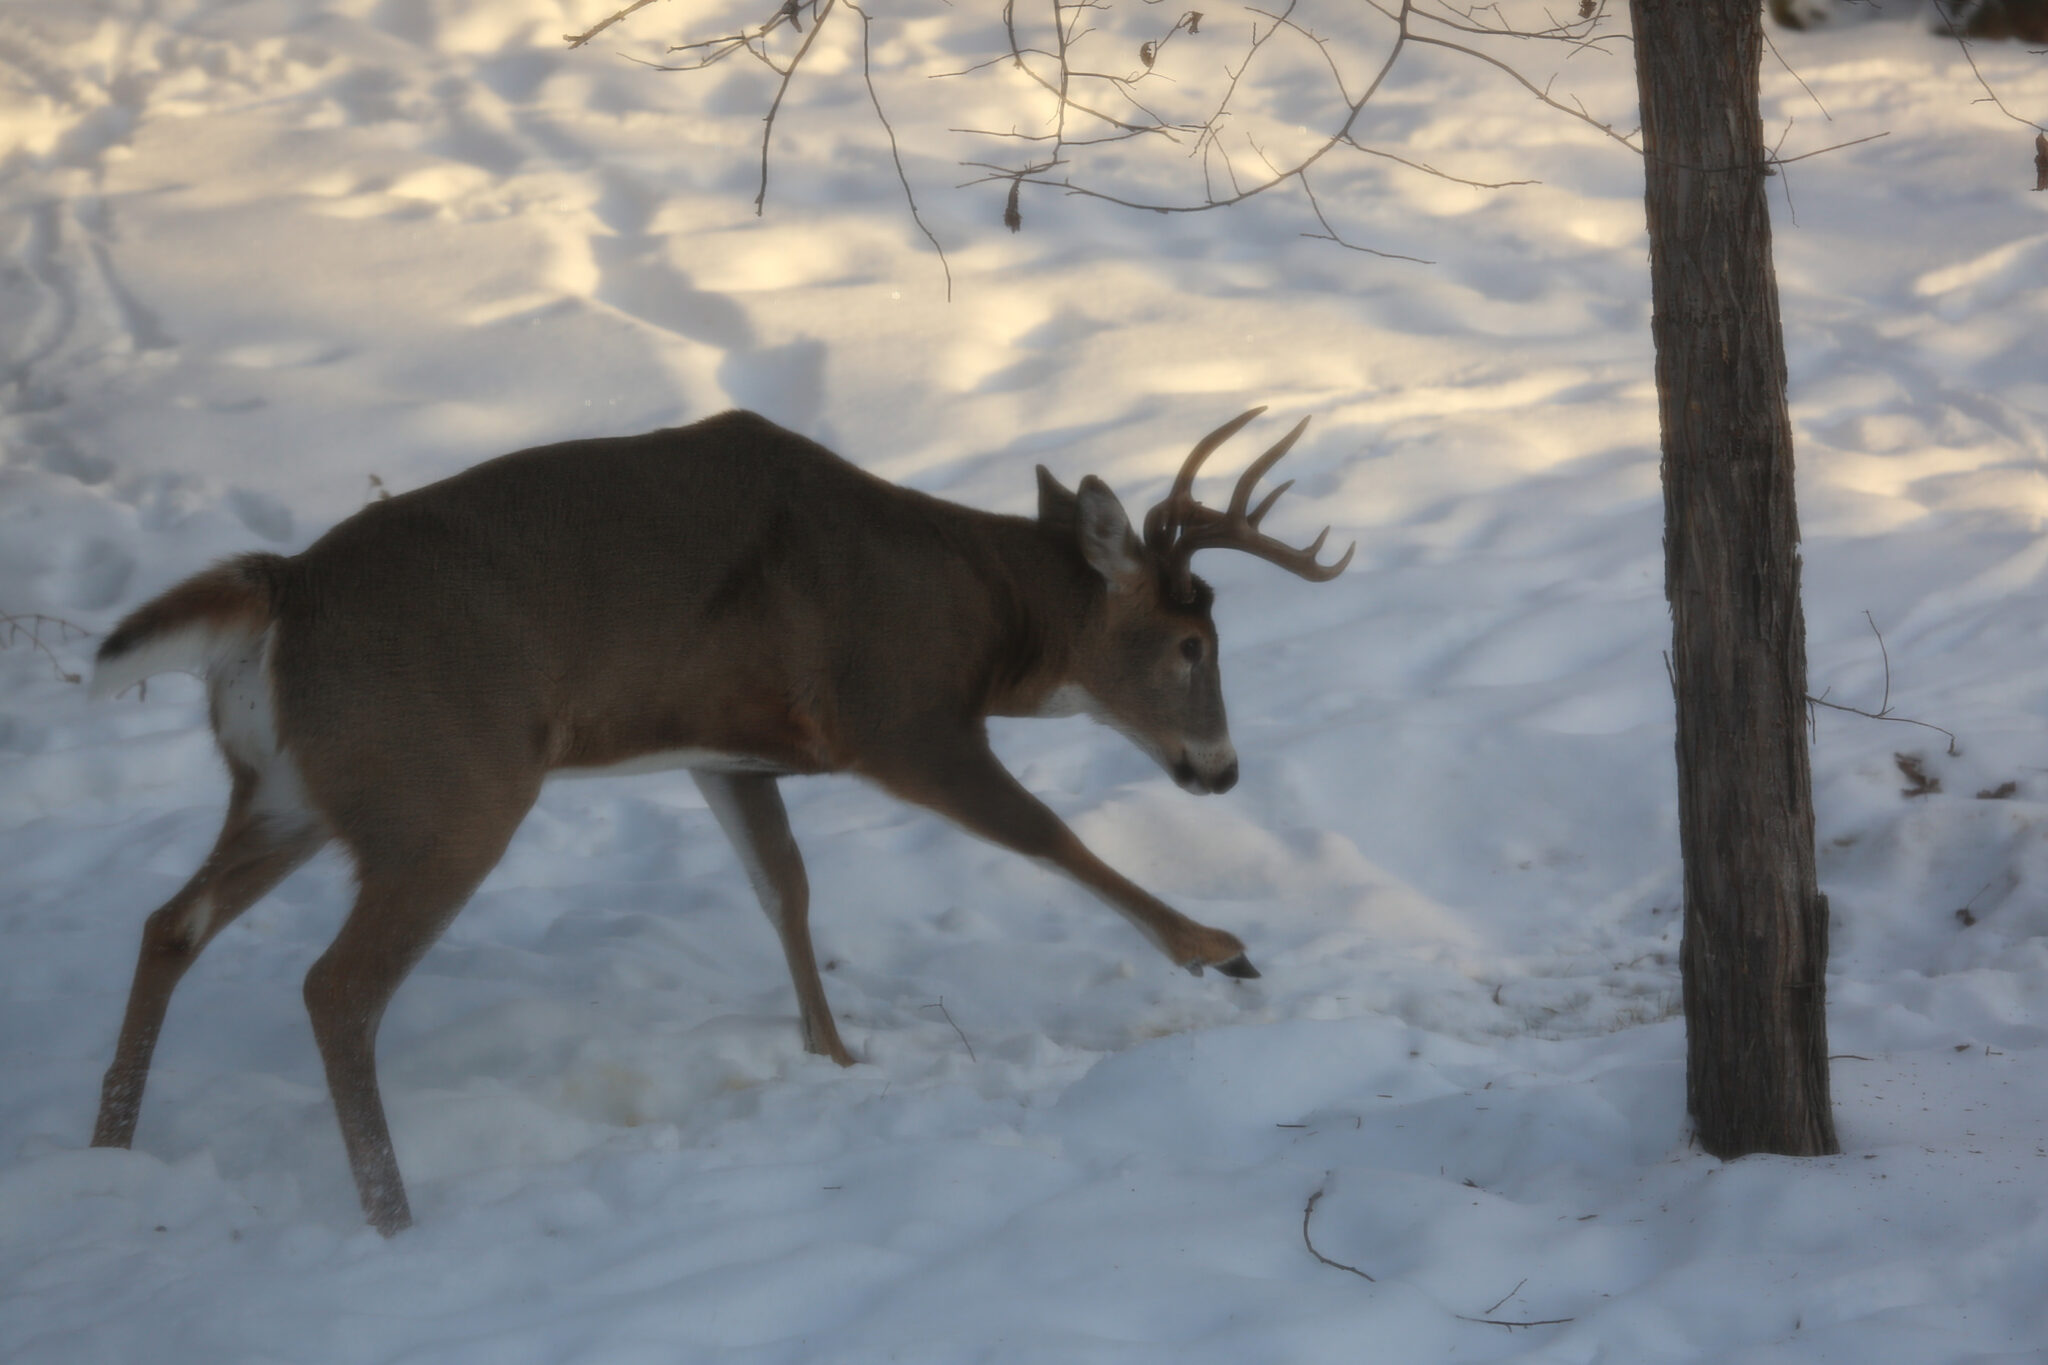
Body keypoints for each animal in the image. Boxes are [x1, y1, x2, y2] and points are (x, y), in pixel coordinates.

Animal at [86, 406, 1351, 1234]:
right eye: (1189, 644)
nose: (1221, 772)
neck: (981, 618)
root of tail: (280, 593)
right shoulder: (896, 714)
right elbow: (1050, 836)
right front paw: (1218, 950)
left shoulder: (727, 749)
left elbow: (782, 888)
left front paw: (833, 1059)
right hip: (446, 787)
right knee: (336, 986)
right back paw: (394, 1221)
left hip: (291, 789)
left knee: (167, 923)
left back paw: (107, 1155)